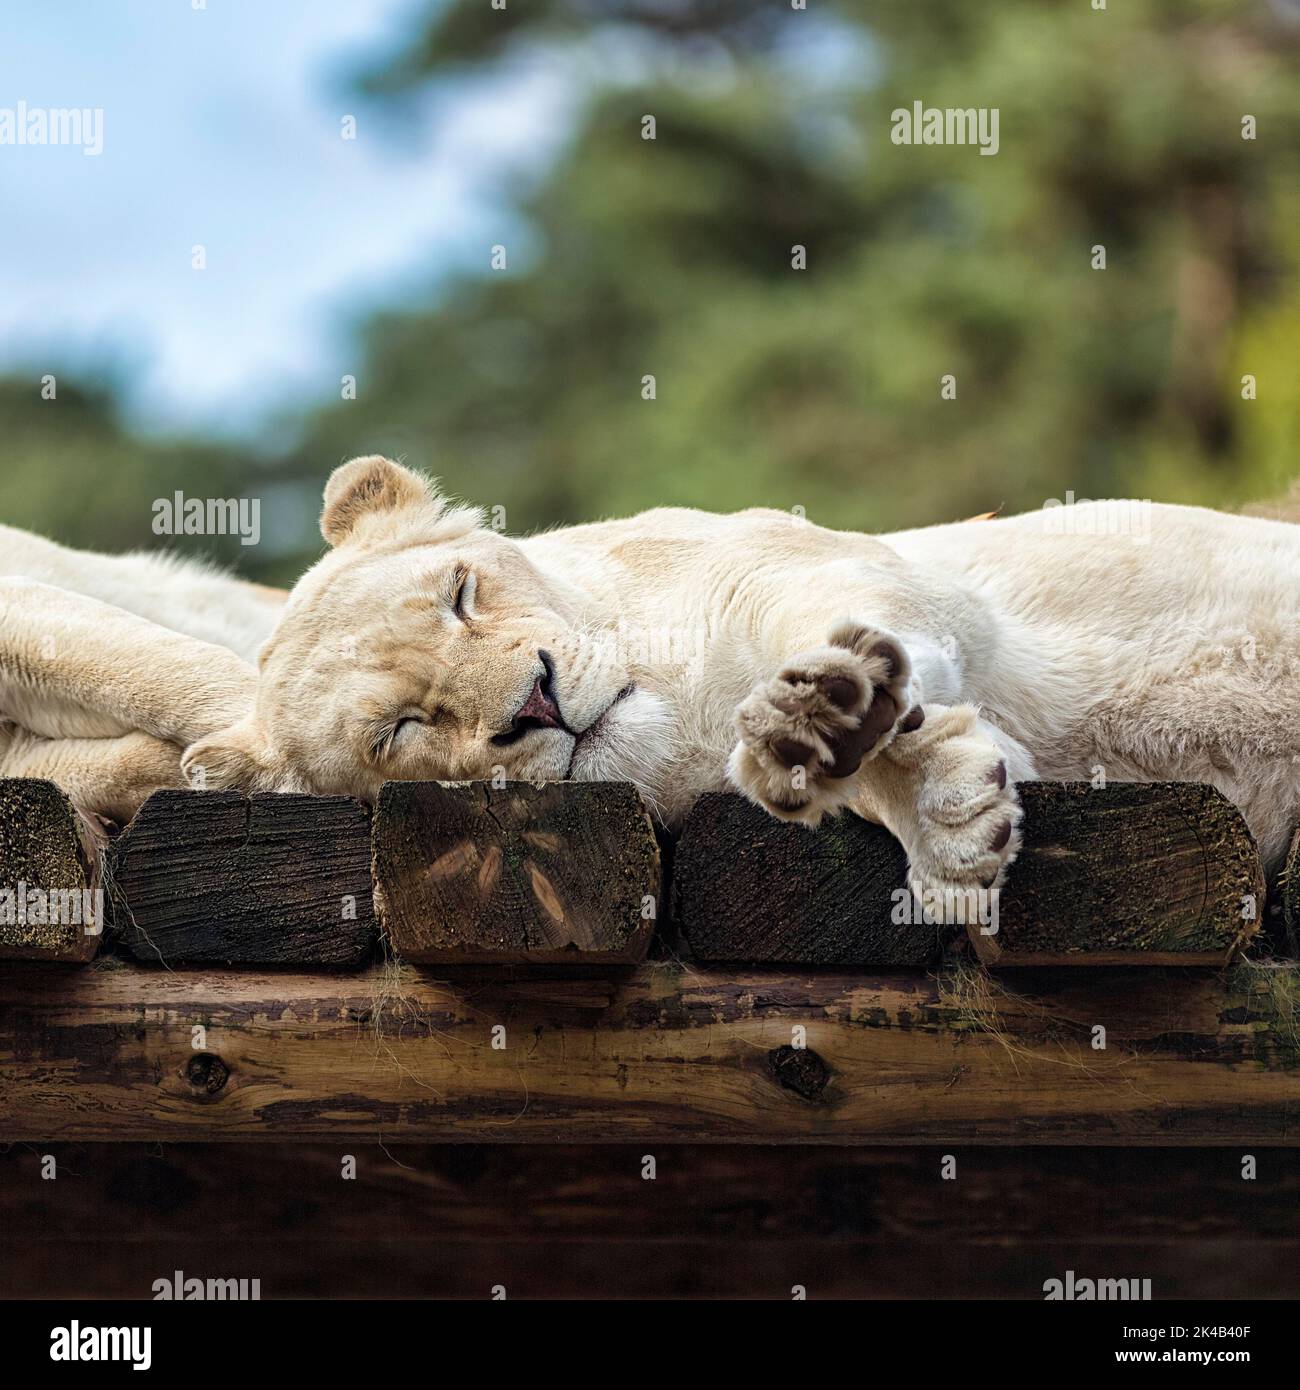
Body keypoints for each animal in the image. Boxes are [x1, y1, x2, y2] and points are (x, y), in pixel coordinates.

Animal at [3, 454, 1300, 906]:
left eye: (463, 591)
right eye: (398, 731)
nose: (532, 699)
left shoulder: (860, 574)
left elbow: (865, 641)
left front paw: (819, 719)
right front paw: (912, 797)